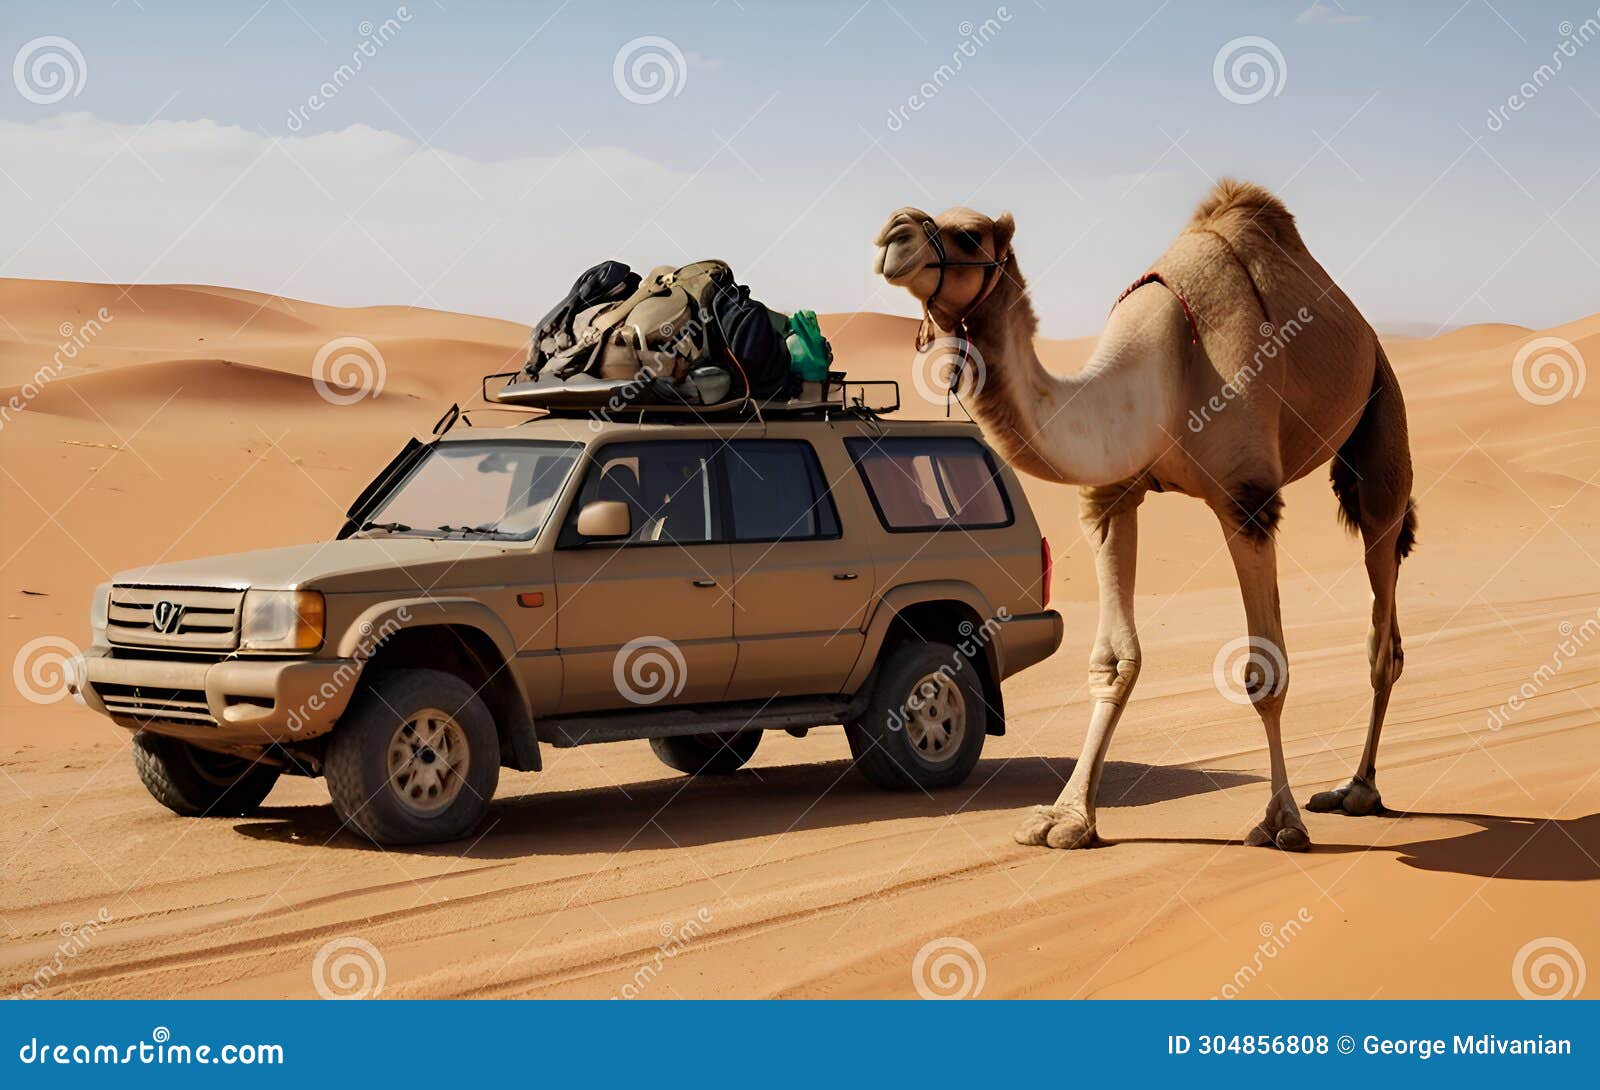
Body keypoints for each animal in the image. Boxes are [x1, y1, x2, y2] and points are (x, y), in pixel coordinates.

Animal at [873, 179, 1417, 851]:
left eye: (969, 235)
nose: (893, 236)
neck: (1166, 370)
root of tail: (1365, 329)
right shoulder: (1111, 495)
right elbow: (1112, 662)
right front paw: (1066, 818)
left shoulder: (1247, 499)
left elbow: (1263, 671)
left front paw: (1281, 821)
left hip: (1381, 410)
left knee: (1380, 617)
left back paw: (1357, 791)